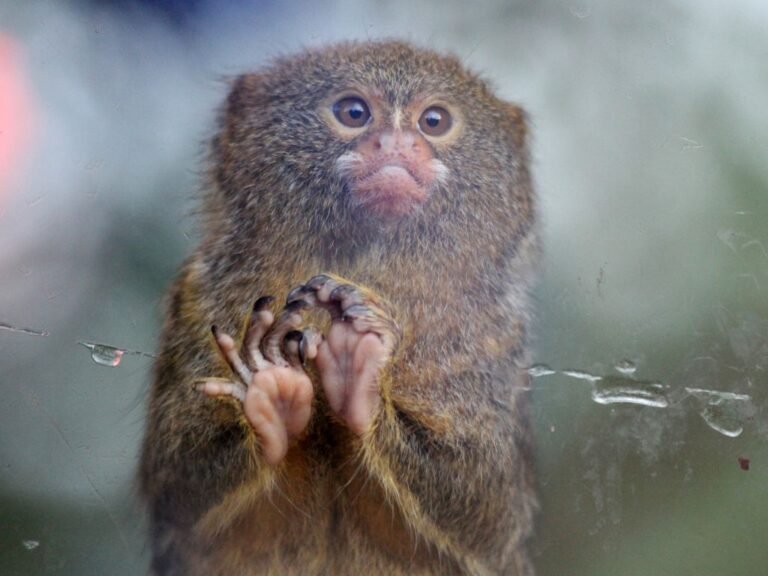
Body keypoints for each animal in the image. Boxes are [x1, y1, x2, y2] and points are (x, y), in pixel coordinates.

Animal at [139, 40, 538, 576]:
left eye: (434, 120)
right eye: (353, 112)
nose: (397, 144)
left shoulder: (495, 334)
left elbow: (490, 511)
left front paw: (362, 369)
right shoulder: (197, 295)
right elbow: (174, 487)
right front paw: (272, 391)